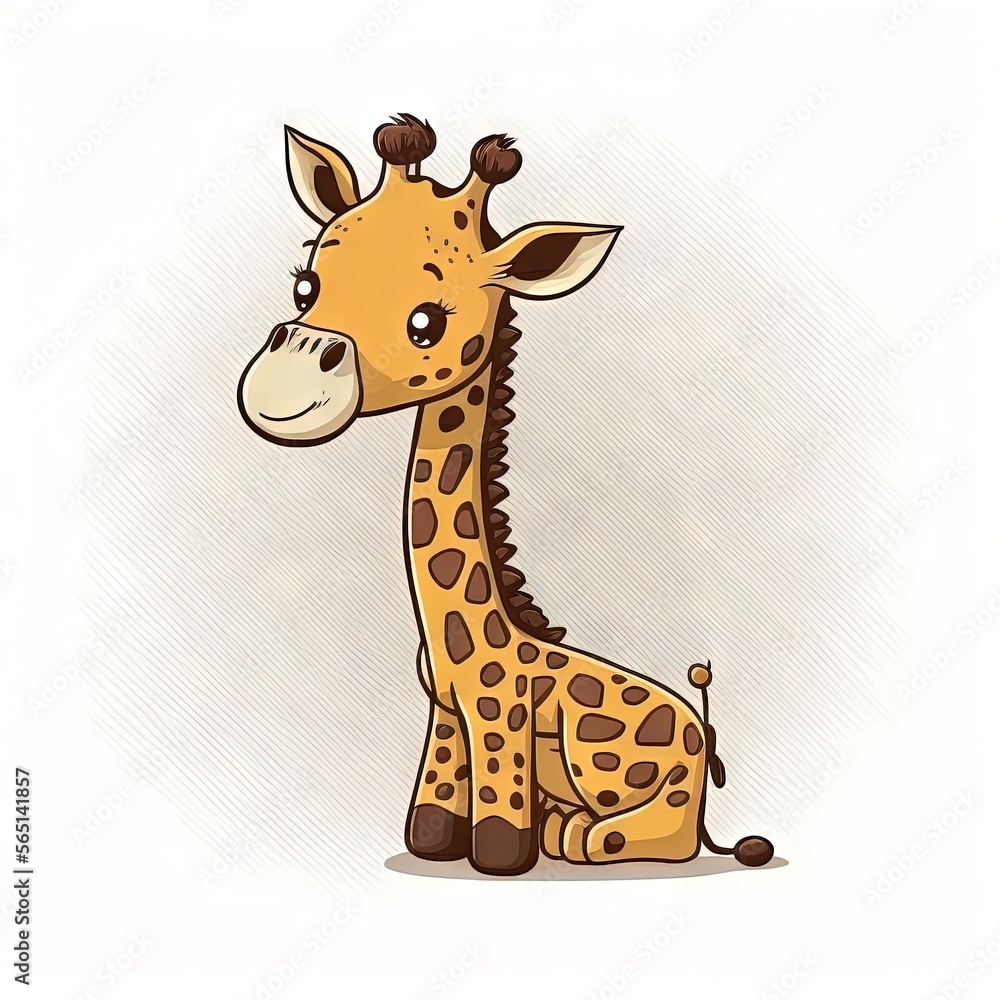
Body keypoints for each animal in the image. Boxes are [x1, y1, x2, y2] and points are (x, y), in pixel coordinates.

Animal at [237, 113, 775, 876]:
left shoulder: (500, 714)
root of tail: (707, 750)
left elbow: (499, 821)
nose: (284, 387)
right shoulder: (443, 711)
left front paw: (501, 855)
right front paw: (438, 846)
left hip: (612, 765)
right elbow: (432, 810)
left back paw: (575, 832)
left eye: (426, 323)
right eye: (305, 286)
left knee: (648, 834)